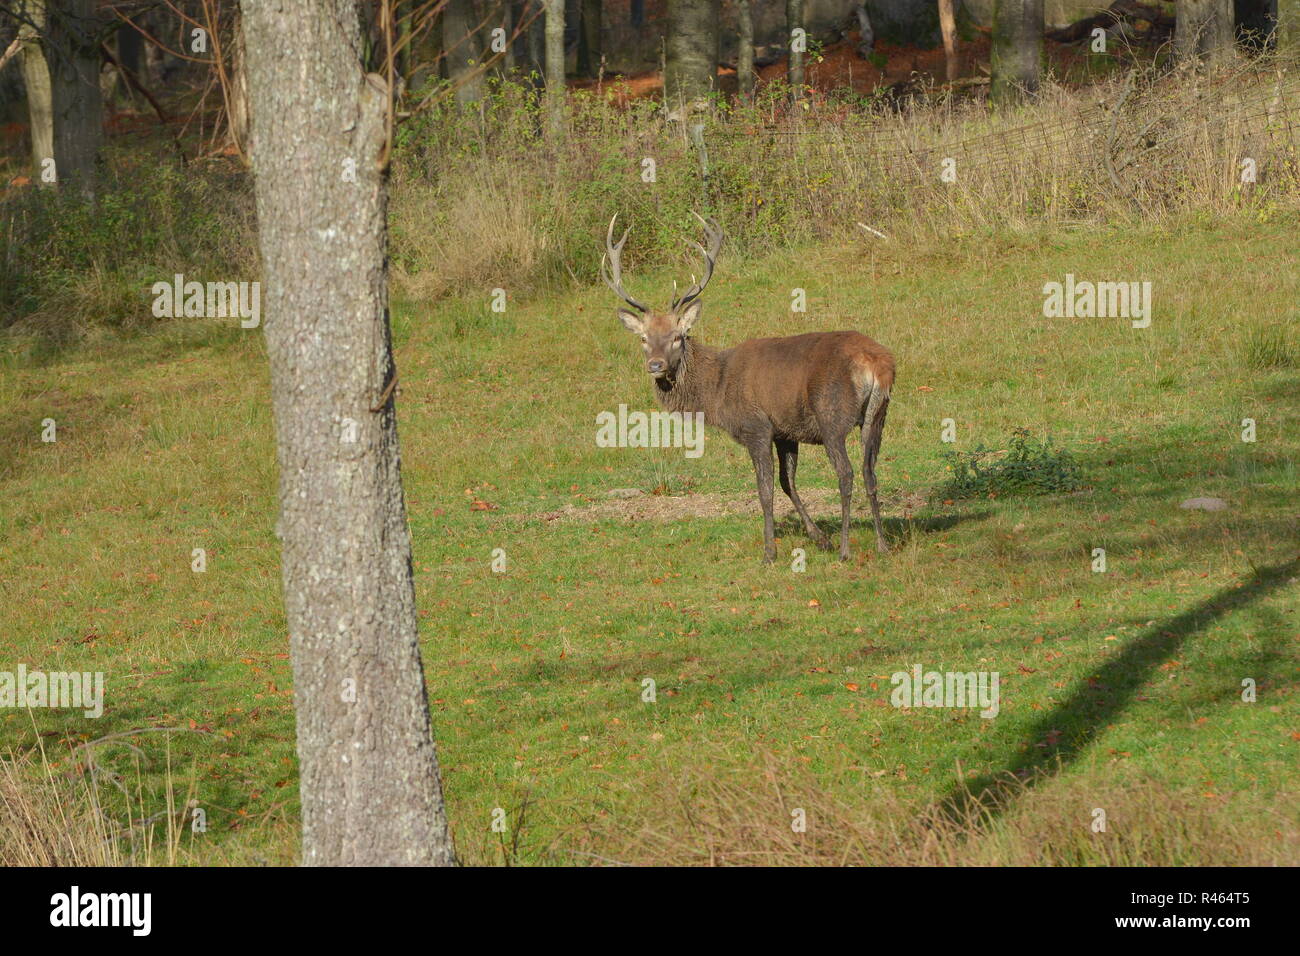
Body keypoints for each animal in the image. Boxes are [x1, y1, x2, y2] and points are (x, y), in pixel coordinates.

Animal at [602, 213, 895, 563]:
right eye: (644, 338)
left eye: (677, 336)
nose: (656, 365)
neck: (716, 390)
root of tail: (877, 365)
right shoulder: (785, 431)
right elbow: (787, 482)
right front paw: (818, 537)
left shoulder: (756, 427)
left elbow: (765, 489)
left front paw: (770, 551)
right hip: (877, 415)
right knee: (869, 471)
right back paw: (881, 543)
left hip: (832, 417)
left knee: (846, 473)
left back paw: (845, 549)